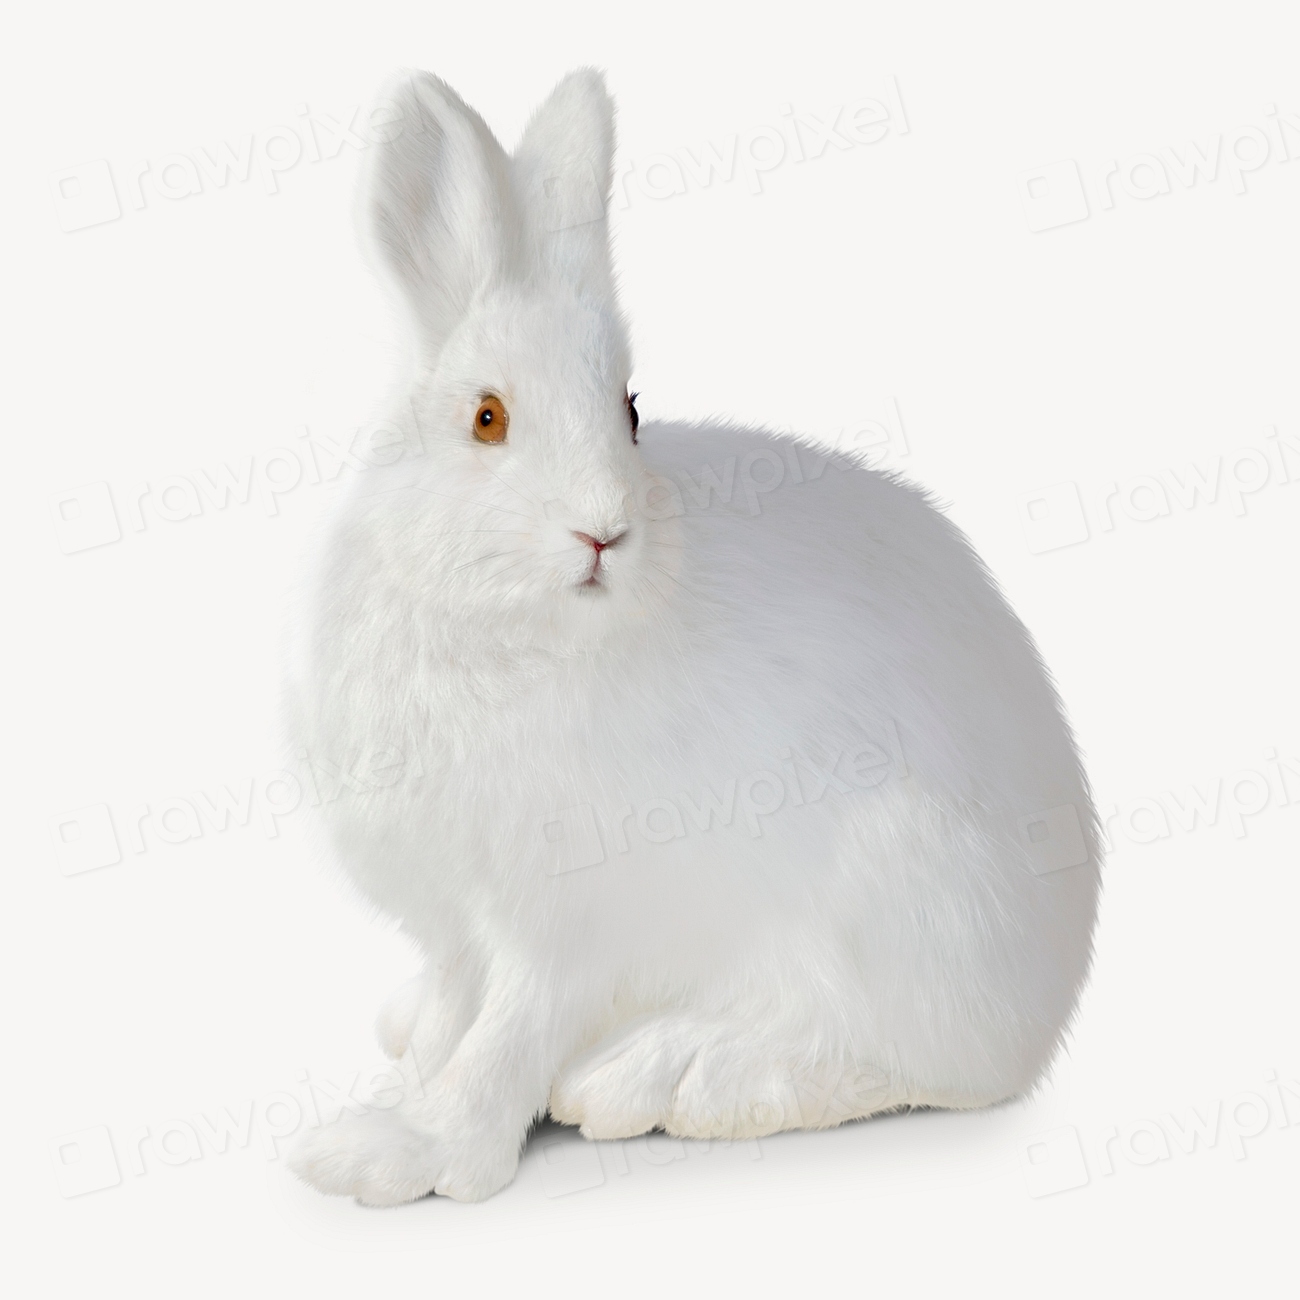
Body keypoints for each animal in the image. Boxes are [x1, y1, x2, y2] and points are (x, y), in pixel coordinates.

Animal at [285, 67, 1101, 1205]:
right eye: (486, 418)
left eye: (629, 413)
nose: (603, 531)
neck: (518, 638)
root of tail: (1053, 984)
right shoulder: (457, 922)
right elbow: (456, 1012)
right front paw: (403, 1083)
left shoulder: (565, 929)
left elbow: (504, 1042)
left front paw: (398, 1150)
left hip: (893, 884)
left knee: (890, 1054)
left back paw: (670, 1073)